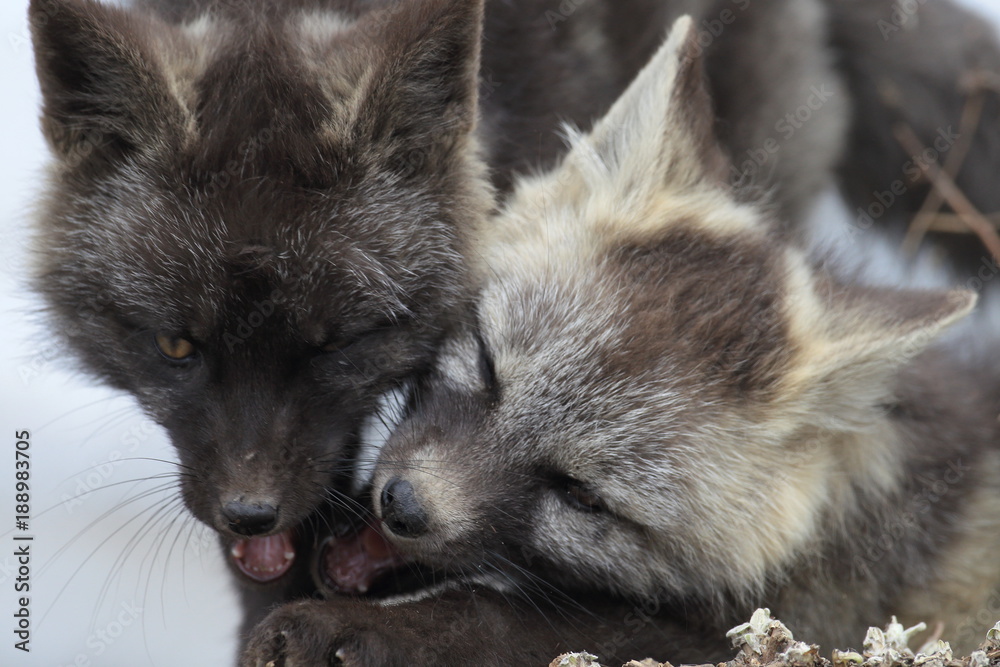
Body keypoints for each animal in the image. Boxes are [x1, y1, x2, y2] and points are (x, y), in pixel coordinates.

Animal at [27, 0, 1000, 657]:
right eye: (489, 367)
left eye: (583, 496)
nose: (403, 506)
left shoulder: (743, 629)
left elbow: (500, 614)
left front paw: (345, 632)